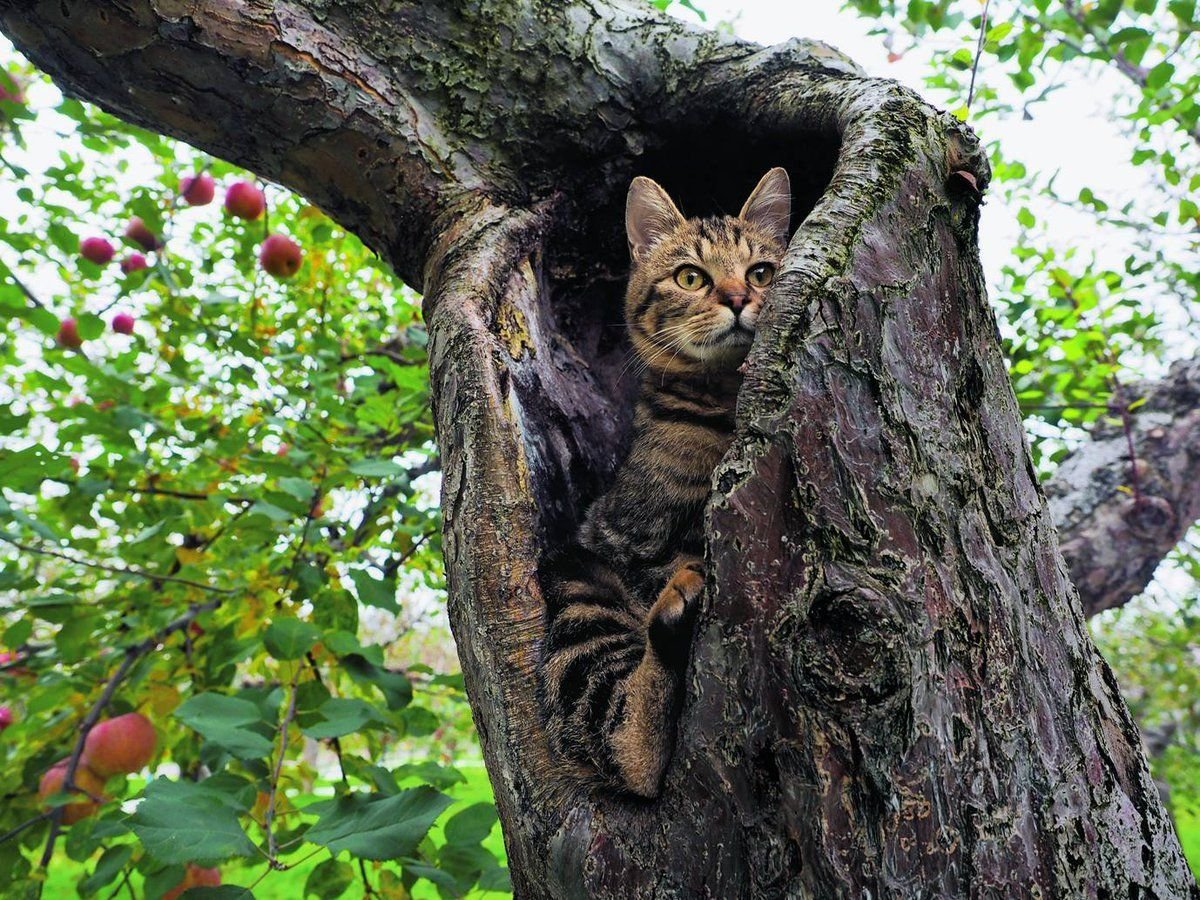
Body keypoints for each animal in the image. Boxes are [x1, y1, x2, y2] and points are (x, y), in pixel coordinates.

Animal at [540, 168, 792, 796]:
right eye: (690, 276)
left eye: (761, 272)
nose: (738, 299)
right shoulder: (631, 536)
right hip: (579, 591)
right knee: (624, 743)